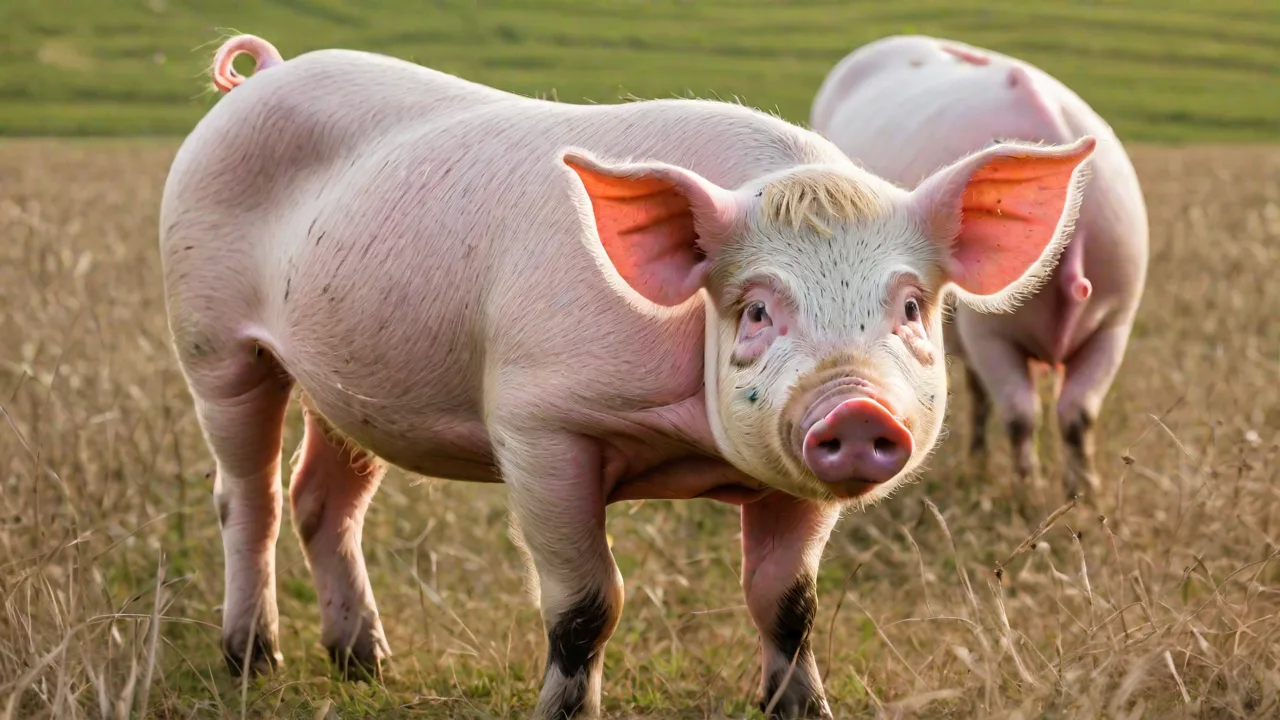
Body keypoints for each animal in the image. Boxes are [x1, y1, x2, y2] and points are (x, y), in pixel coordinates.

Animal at [160, 34, 1096, 719]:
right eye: (757, 309)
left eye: (907, 306)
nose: (856, 409)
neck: (688, 447)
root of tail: (262, 75)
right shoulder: (539, 424)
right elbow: (585, 604)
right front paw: (563, 712)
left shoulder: (792, 481)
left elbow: (788, 602)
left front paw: (802, 710)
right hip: (215, 345)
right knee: (247, 497)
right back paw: (252, 661)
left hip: (348, 385)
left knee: (325, 499)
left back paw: (367, 668)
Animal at [810, 35, 1149, 503]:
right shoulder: (987, 332)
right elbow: (1022, 416)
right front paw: (1029, 496)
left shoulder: (1115, 322)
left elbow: (1079, 416)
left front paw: (1085, 497)